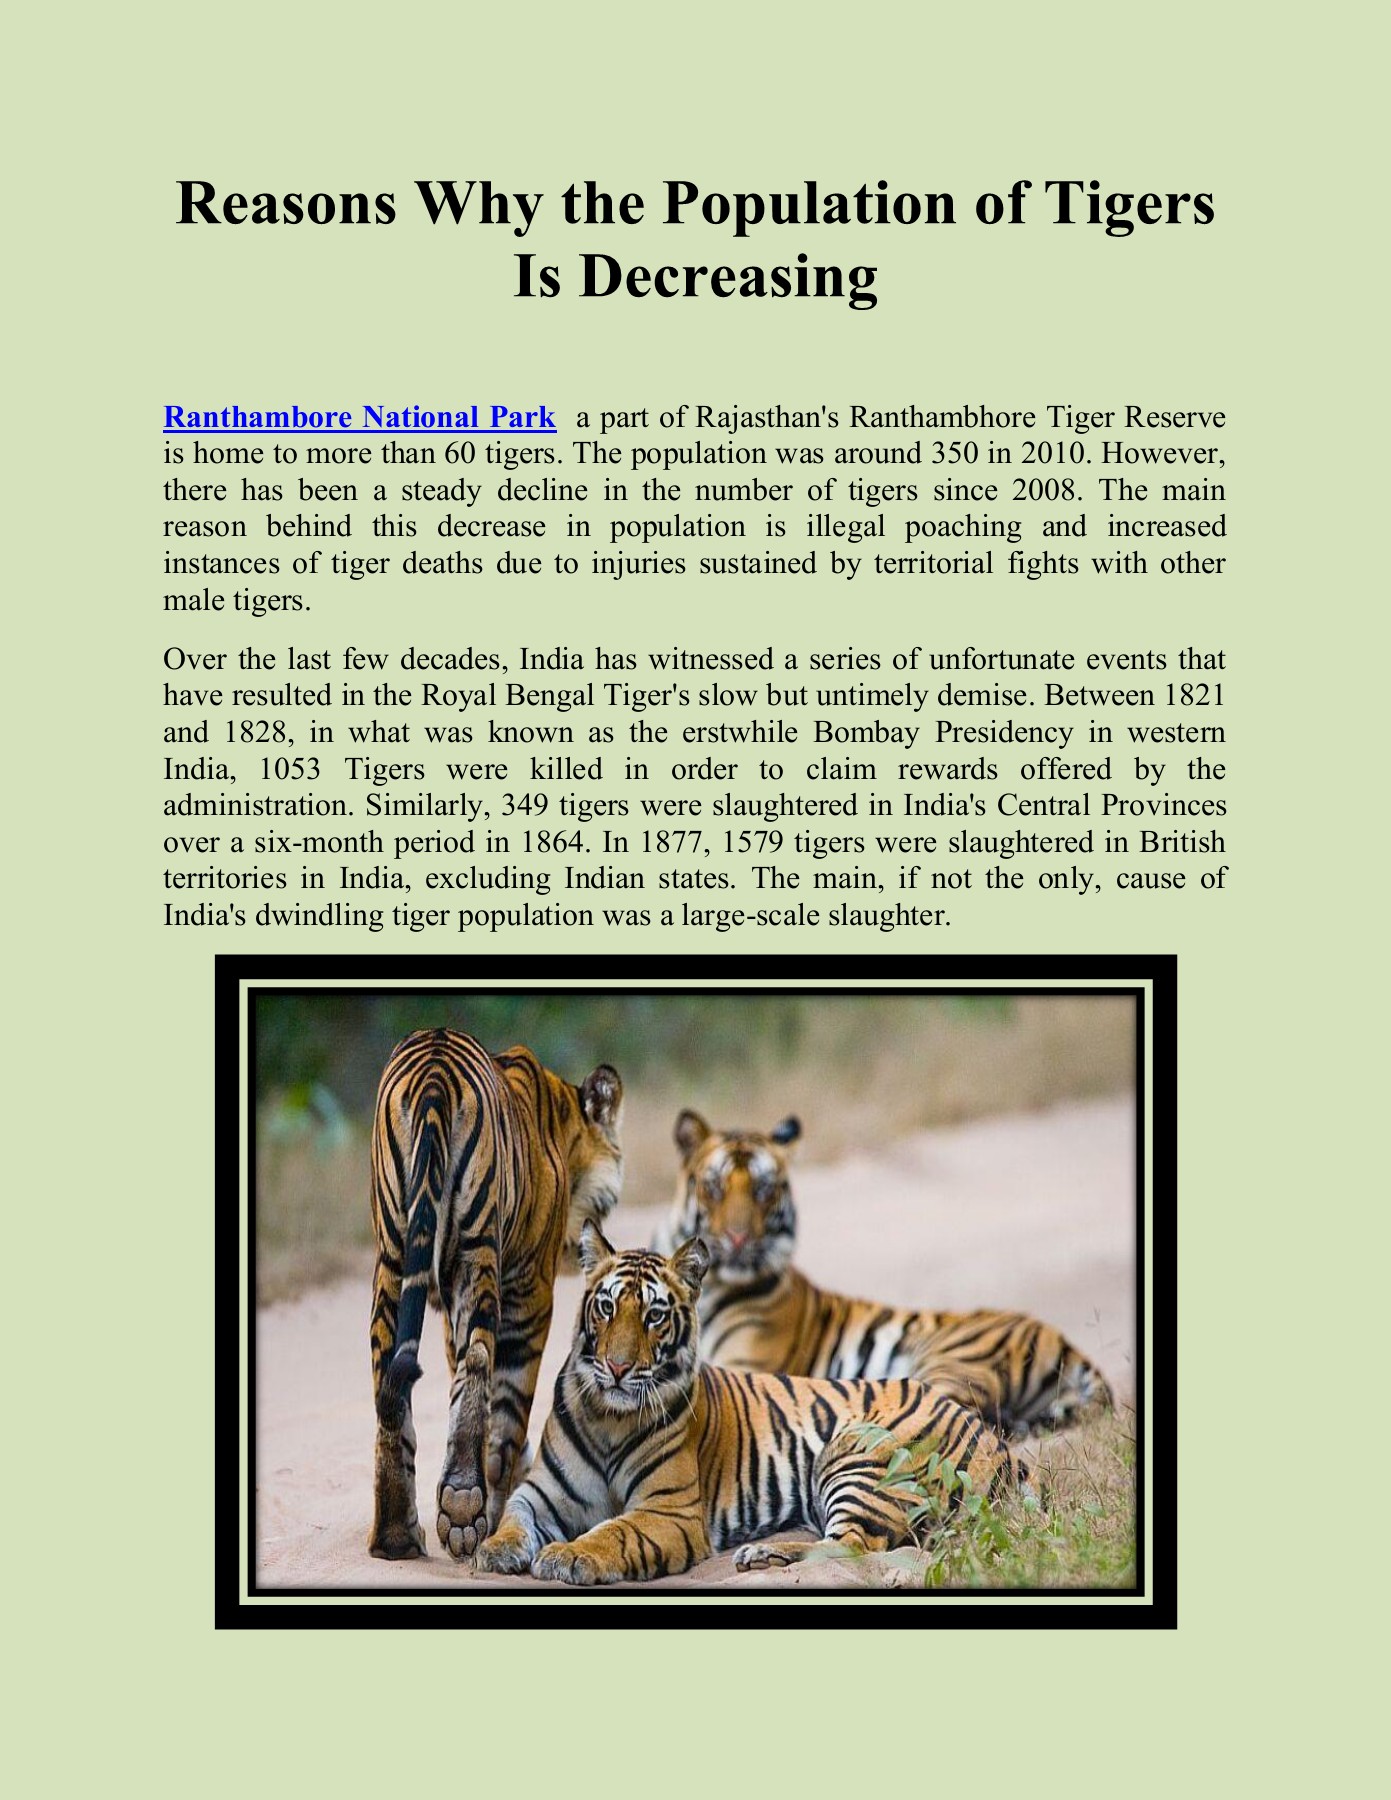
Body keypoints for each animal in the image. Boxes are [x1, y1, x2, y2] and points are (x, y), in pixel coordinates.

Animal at [368, 1028, 623, 1561]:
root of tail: (436, 1070)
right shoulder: (531, 1291)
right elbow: (503, 1409)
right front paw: (488, 1503)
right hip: (479, 1251)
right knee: (481, 1359)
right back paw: (464, 1504)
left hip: (394, 1254)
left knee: (388, 1376)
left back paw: (396, 1535)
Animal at [473, 1223, 1035, 1584]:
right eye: (607, 1307)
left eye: (654, 1316)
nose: (615, 1368)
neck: (607, 1417)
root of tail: (993, 1439)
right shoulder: (541, 1492)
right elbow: (513, 1518)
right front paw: (491, 1552)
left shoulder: (669, 1511)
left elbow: (613, 1531)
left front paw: (570, 1555)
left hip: (857, 1455)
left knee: (855, 1547)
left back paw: (761, 1554)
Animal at [659, 1110, 1112, 1437]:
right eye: (714, 1188)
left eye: (763, 1190)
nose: (737, 1238)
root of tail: (1063, 1340)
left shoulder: (745, 1366)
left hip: (955, 1362)